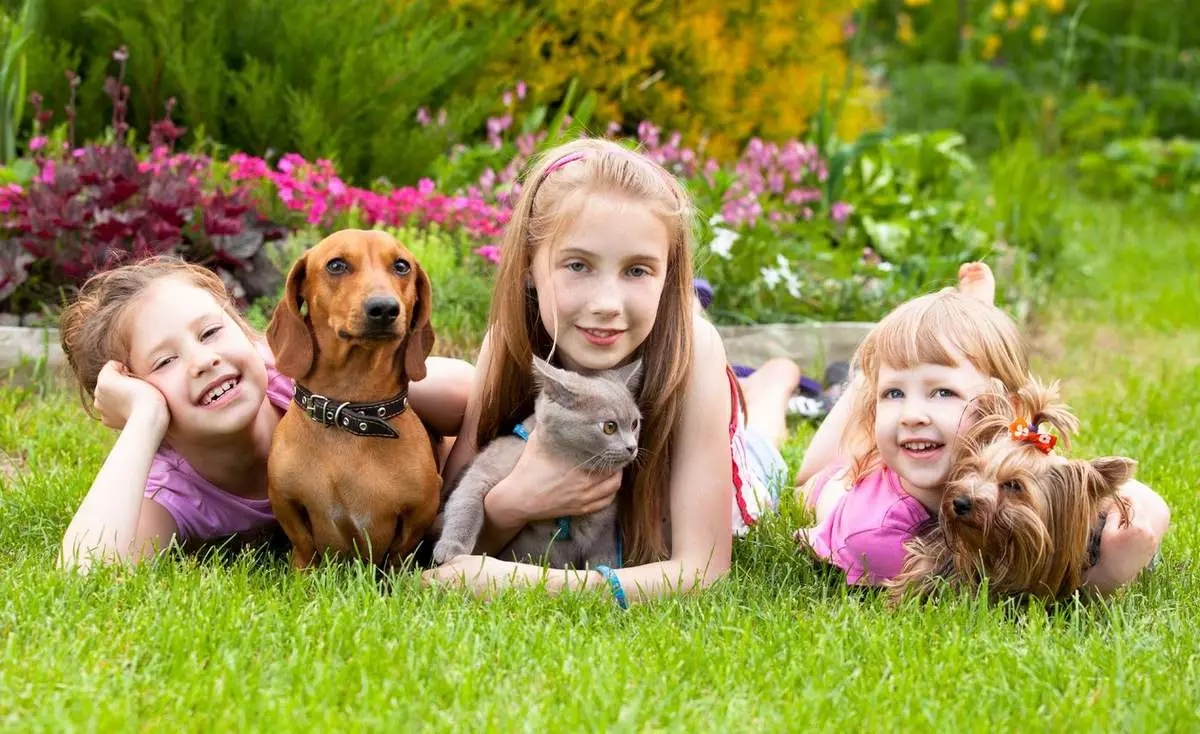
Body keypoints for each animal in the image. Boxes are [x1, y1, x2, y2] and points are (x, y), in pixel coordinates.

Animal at [265, 229, 444, 568]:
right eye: (336, 265)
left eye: (401, 266)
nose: (384, 308)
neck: (351, 411)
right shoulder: (284, 500)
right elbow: (304, 545)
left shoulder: (422, 510)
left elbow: (399, 555)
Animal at [429, 355, 643, 568]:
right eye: (609, 427)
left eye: (634, 424)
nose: (632, 447)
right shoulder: (483, 471)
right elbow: (466, 504)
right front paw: (452, 548)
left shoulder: (604, 535)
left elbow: (604, 562)